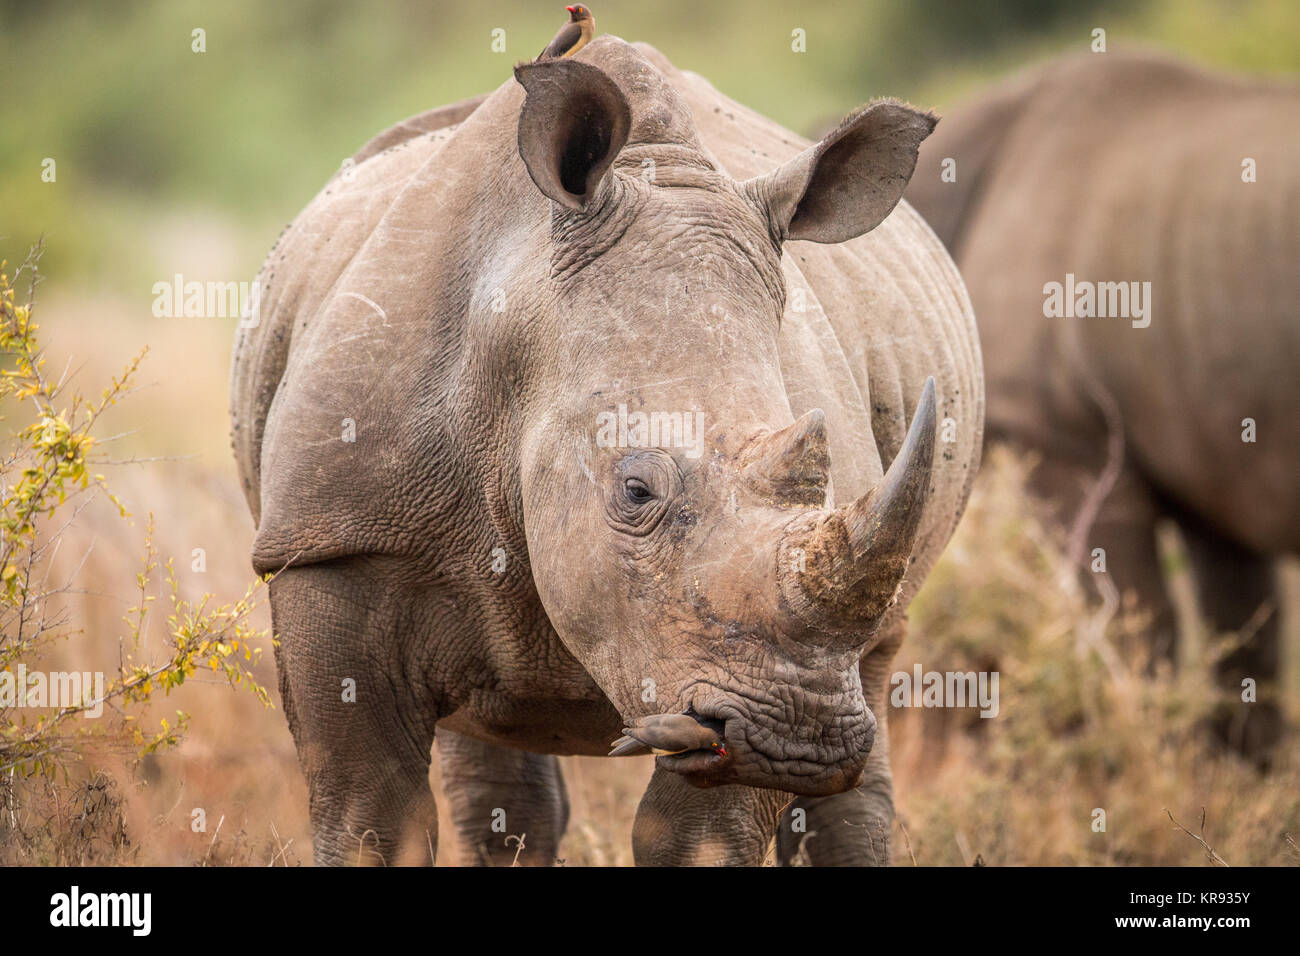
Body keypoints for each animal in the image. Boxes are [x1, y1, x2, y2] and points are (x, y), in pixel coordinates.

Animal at [231, 36, 983, 866]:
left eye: (823, 484)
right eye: (635, 491)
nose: (800, 739)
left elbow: (698, 837)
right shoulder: (335, 540)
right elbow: (369, 809)